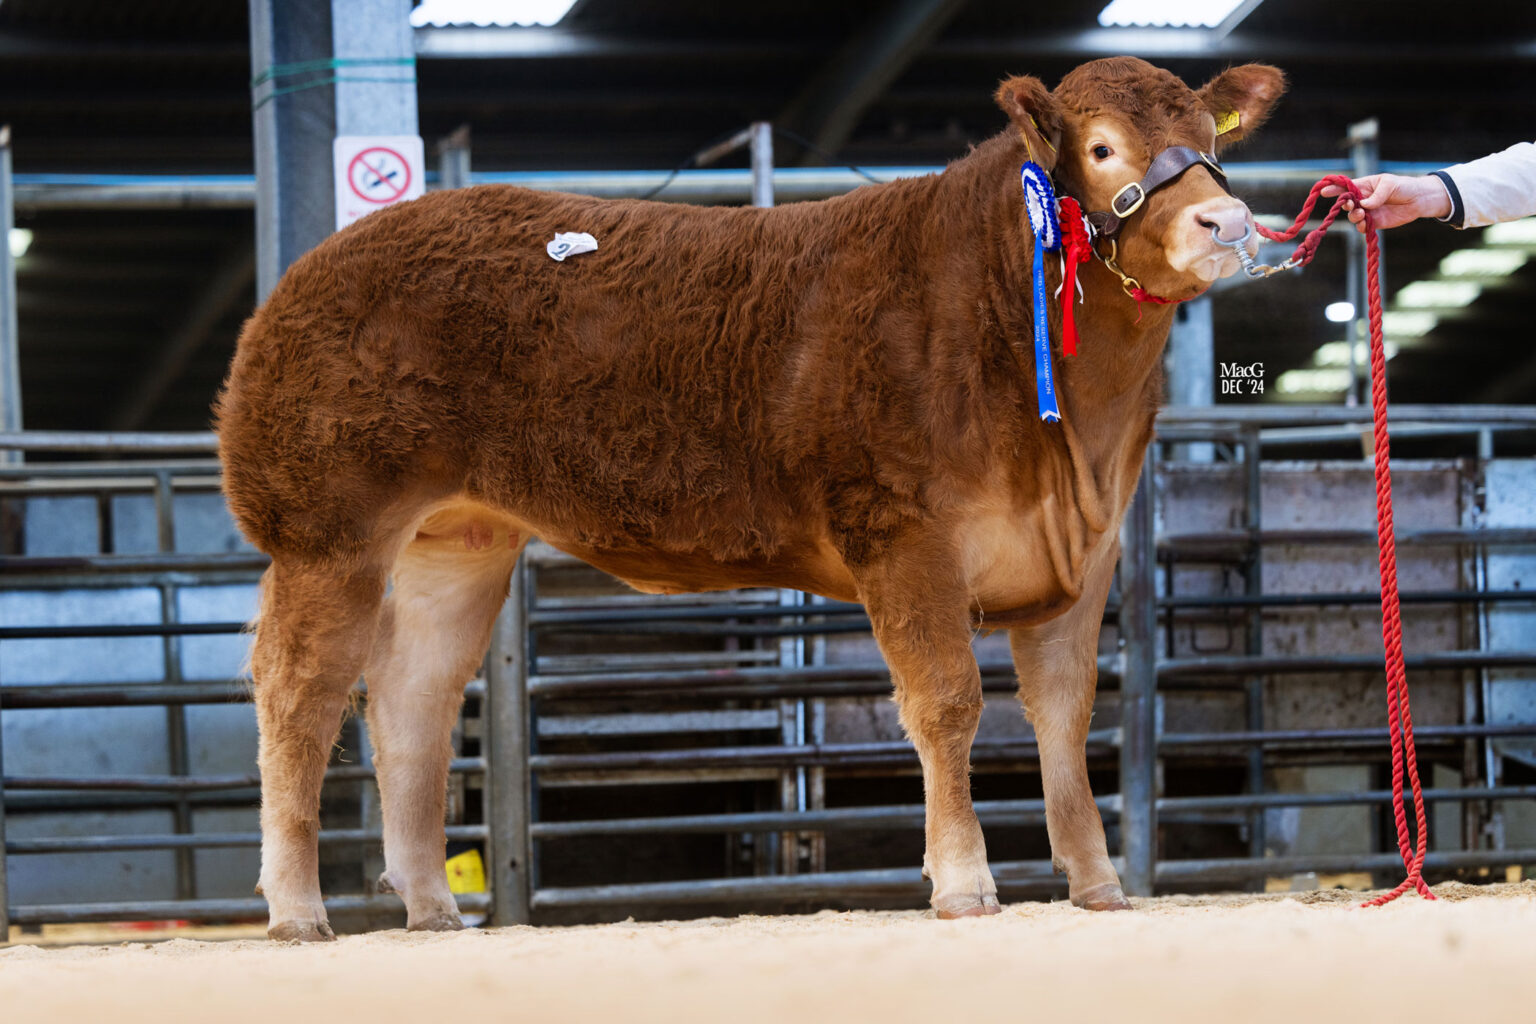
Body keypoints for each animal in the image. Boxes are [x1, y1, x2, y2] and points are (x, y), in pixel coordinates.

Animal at [216, 56, 1285, 940]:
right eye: (1101, 148)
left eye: (1215, 137)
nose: (1228, 225)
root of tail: (311, 271)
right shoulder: (900, 531)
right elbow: (946, 701)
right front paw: (964, 883)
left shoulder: (1087, 551)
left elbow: (1065, 716)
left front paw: (1099, 885)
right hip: (328, 530)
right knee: (300, 695)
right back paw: (299, 909)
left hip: (458, 540)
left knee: (414, 699)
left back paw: (432, 907)